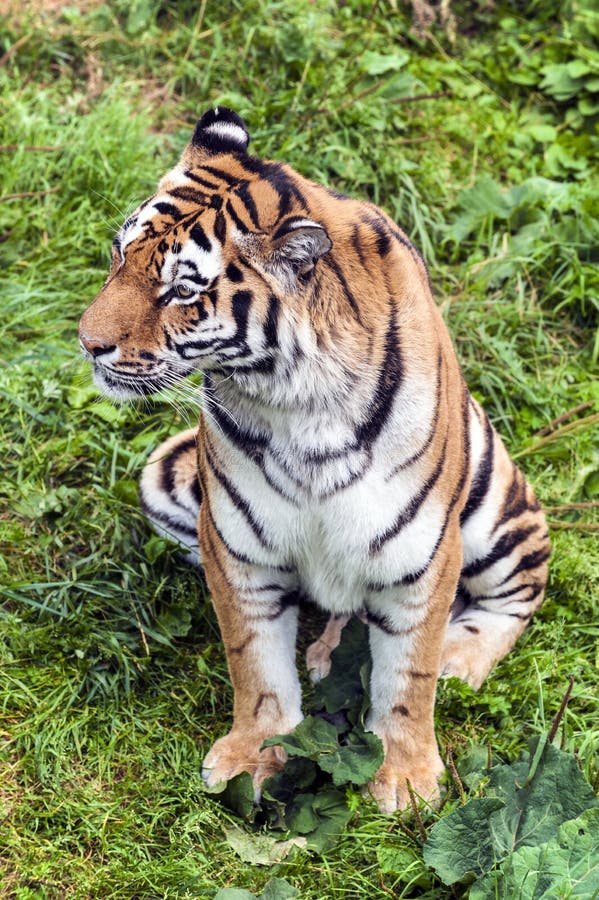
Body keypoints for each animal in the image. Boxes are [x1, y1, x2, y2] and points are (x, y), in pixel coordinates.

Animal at [79, 107, 550, 812]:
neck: (291, 396)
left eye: (182, 291)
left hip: (492, 506)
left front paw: (406, 777)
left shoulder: (421, 551)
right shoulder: (237, 545)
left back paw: (460, 658)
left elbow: (408, 676)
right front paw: (254, 755)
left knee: (525, 579)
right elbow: (255, 662)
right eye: (119, 254)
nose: (88, 343)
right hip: (165, 473)